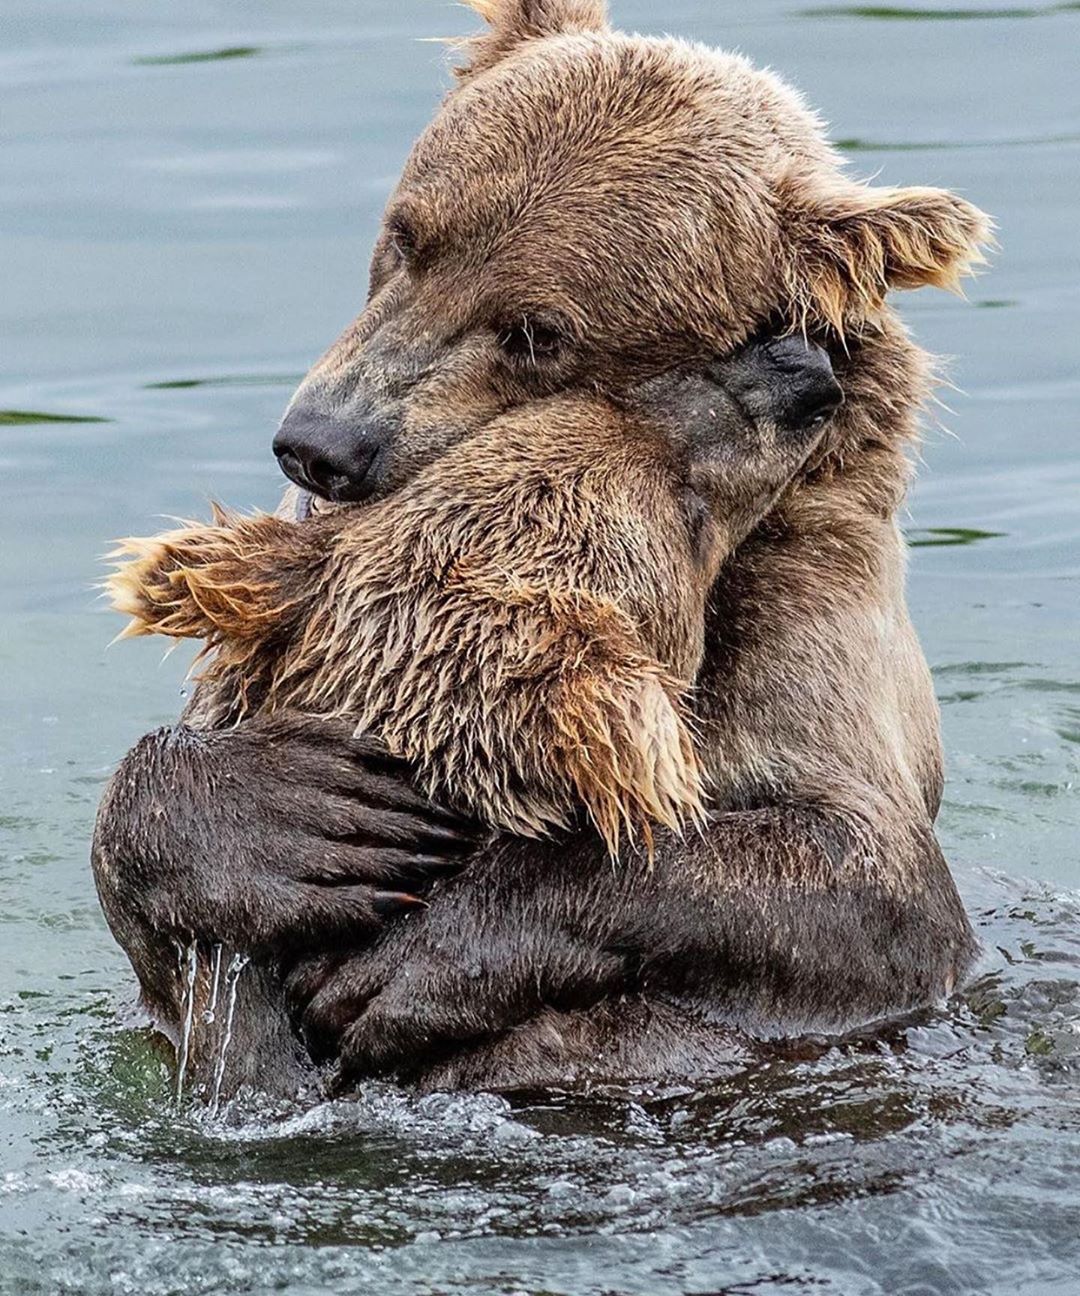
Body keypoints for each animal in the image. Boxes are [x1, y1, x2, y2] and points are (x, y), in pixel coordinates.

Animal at [92, 0, 992, 1096]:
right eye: (408, 235)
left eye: (536, 330)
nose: (320, 442)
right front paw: (302, 820)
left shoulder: (807, 628)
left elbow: (861, 876)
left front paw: (416, 963)